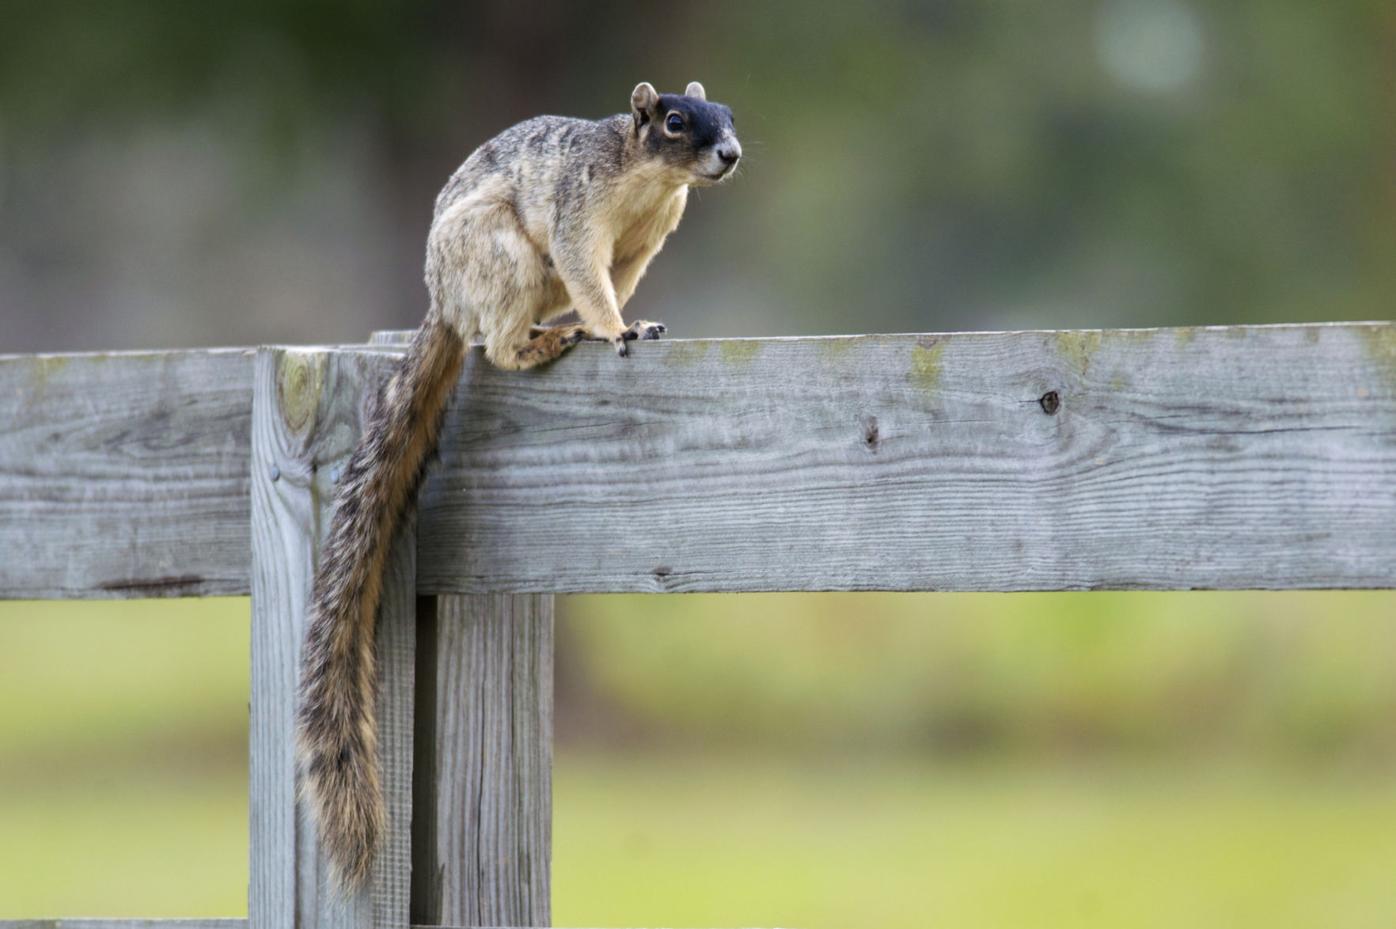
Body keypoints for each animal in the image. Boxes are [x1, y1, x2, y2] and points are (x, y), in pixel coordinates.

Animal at [295, 81, 741, 888]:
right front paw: (616, 330)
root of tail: (444, 302)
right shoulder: (578, 216)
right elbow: (590, 276)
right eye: (675, 121)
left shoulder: (643, 243)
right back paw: (547, 339)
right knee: (499, 344)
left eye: (729, 116)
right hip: (501, 255)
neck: (651, 182)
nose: (730, 153)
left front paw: (632, 322)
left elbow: (617, 279)